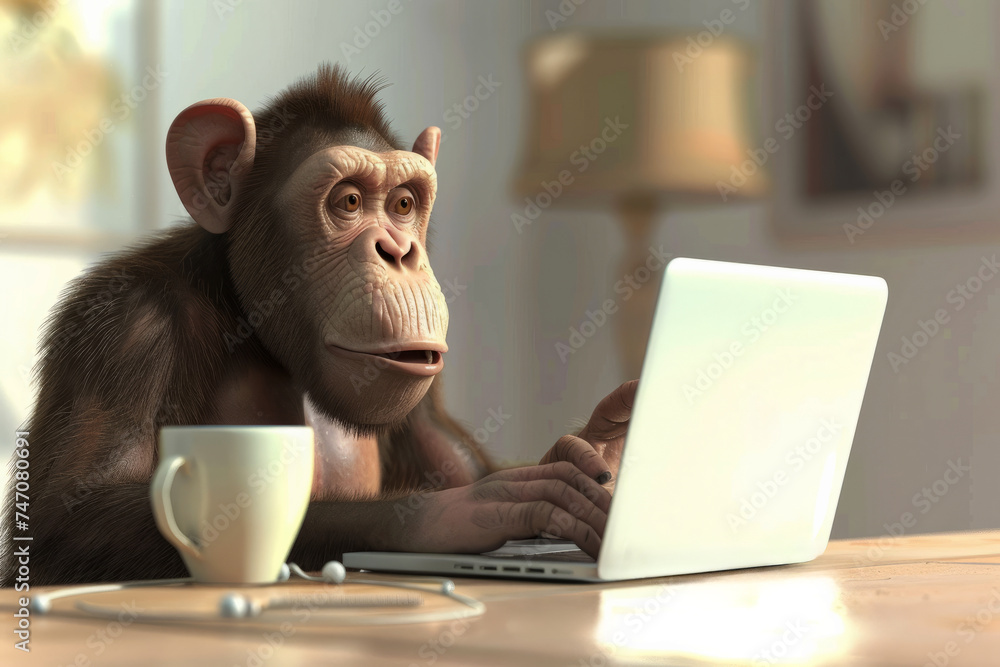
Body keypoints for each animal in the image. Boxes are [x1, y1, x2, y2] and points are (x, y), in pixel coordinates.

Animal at [1, 64, 636, 586]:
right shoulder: (127, 329)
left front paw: (607, 442)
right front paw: (450, 514)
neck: (250, 320)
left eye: (403, 205)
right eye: (349, 202)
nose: (399, 251)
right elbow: (71, 516)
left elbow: (467, 464)